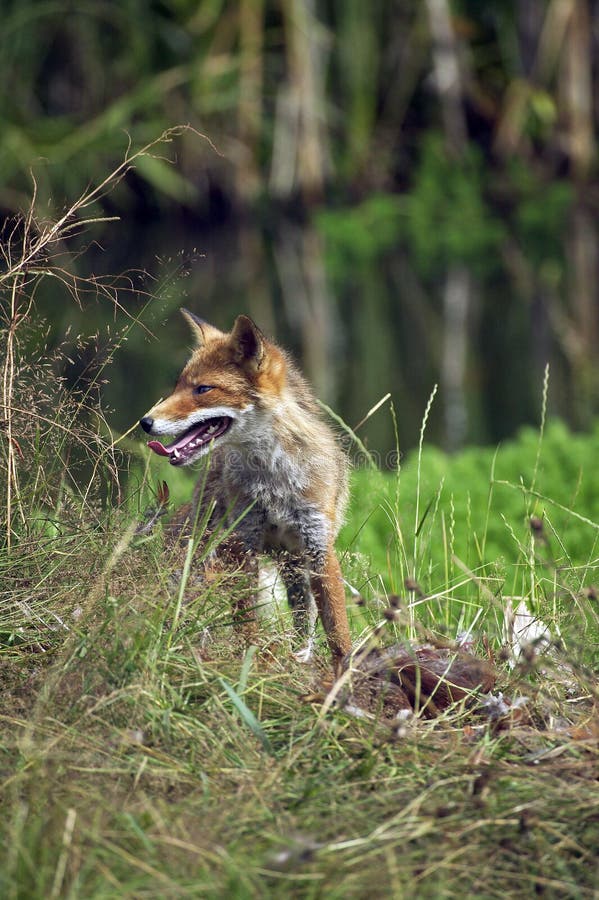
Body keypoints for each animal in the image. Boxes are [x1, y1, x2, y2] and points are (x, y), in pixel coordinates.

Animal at [140, 309, 352, 672]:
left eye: (203, 389)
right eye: (178, 385)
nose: (145, 422)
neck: (274, 480)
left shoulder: (318, 544)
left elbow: (337, 629)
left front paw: (345, 674)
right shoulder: (244, 541)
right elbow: (247, 622)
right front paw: (251, 664)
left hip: (292, 566)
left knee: (303, 617)